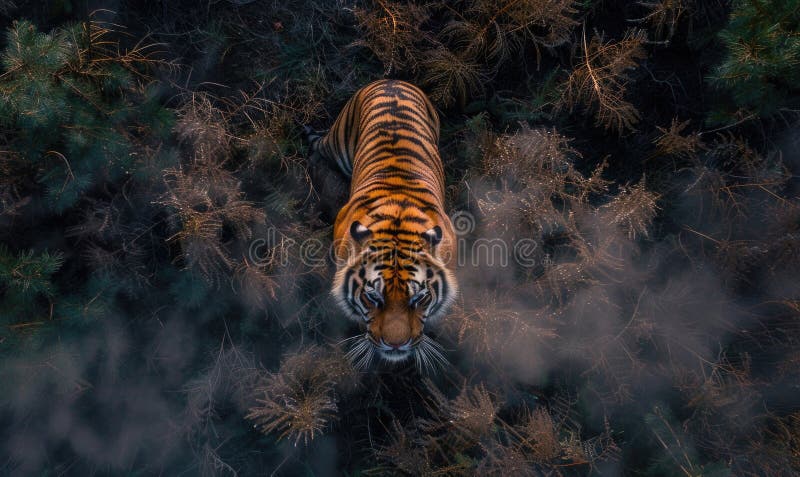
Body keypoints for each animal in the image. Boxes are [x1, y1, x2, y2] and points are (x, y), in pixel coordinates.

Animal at [306, 79, 458, 370]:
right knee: (319, 147)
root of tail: (391, 81)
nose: (396, 345)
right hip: (337, 143)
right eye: (373, 297)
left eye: (418, 298)